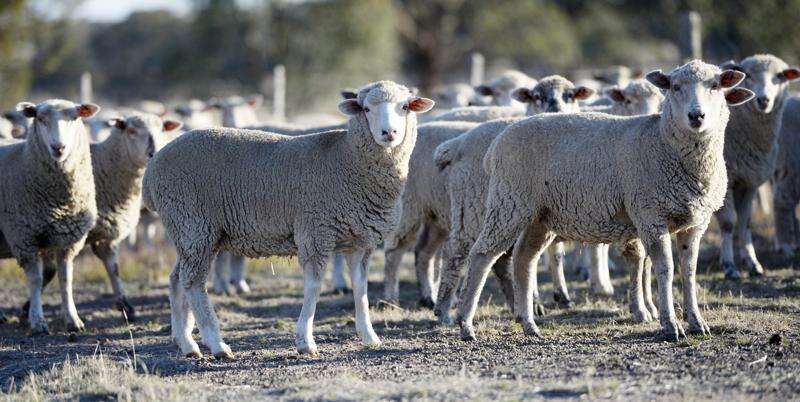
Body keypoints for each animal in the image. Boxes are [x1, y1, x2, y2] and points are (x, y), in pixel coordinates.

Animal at [0, 99, 101, 333]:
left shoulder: (69, 240)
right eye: (40, 119)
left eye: (74, 118)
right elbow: (36, 281)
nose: (58, 147)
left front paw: (73, 320)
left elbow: (66, 279)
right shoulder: (24, 237)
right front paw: (37, 322)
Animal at [142, 81, 434, 358]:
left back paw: (186, 343)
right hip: (193, 222)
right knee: (193, 282)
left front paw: (369, 336)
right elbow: (314, 287)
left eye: (405, 107)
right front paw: (305, 341)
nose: (389, 133)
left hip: (189, 231)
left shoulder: (361, 240)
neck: (347, 160)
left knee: (177, 279)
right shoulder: (316, 230)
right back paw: (217, 345)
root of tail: (153, 169)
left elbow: (360, 288)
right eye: (366, 109)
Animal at [432, 76, 595, 324]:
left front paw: (561, 297)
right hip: (476, 208)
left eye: (570, 95)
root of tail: (458, 143)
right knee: (456, 250)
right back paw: (442, 311)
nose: (555, 108)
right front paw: (537, 300)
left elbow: (554, 255)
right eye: (537, 97)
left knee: (499, 260)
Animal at [453, 60, 754, 342]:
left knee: (524, 259)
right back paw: (466, 325)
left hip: (539, 215)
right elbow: (666, 269)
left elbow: (688, 271)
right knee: (482, 255)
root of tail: (496, 145)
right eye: (675, 87)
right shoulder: (650, 214)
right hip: (509, 202)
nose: (696, 116)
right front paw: (670, 324)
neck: (662, 143)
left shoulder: (695, 222)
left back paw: (529, 325)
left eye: (715, 86)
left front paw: (697, 322)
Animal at [713, 55, 800, 280]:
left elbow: (745, 222)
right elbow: (728, 223)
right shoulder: (727, 181)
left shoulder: (749, 182)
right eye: (748, 75)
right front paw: (730, 267)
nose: (763, 100)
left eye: (780, 76)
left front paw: (753, 264)